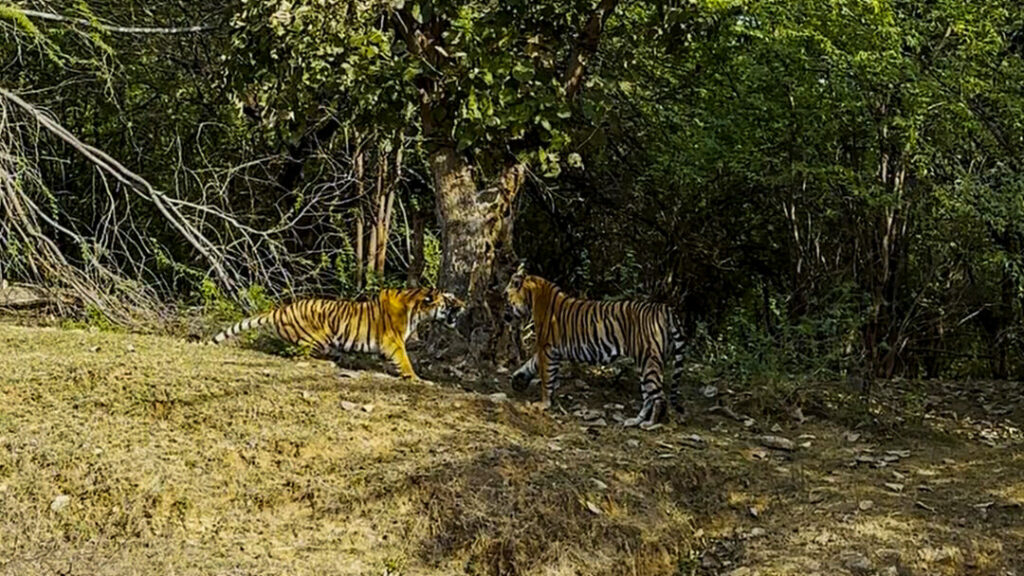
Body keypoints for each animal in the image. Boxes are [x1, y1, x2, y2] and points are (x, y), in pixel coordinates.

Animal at [212, 288, 465, 381]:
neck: (418, 310)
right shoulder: (393, 341)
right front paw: (415, 377)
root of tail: (280, 309)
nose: (464, 305)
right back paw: (330, 361)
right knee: (298, 354)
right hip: (318, 337)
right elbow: (405, 360)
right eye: (450, 299)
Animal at [503, 266, 685, 430]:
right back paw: (635, 421)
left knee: (659, 397)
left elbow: (546, 377)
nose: (505, 317)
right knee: (648, 397)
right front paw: (518, 378)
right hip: (645, 363)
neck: (533, 295)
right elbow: (532, 364)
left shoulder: (546, 348)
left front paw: (543, 404)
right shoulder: (551, 350)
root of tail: (664, 308)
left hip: (649, 361)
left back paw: (650, 424)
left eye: (506, 297)